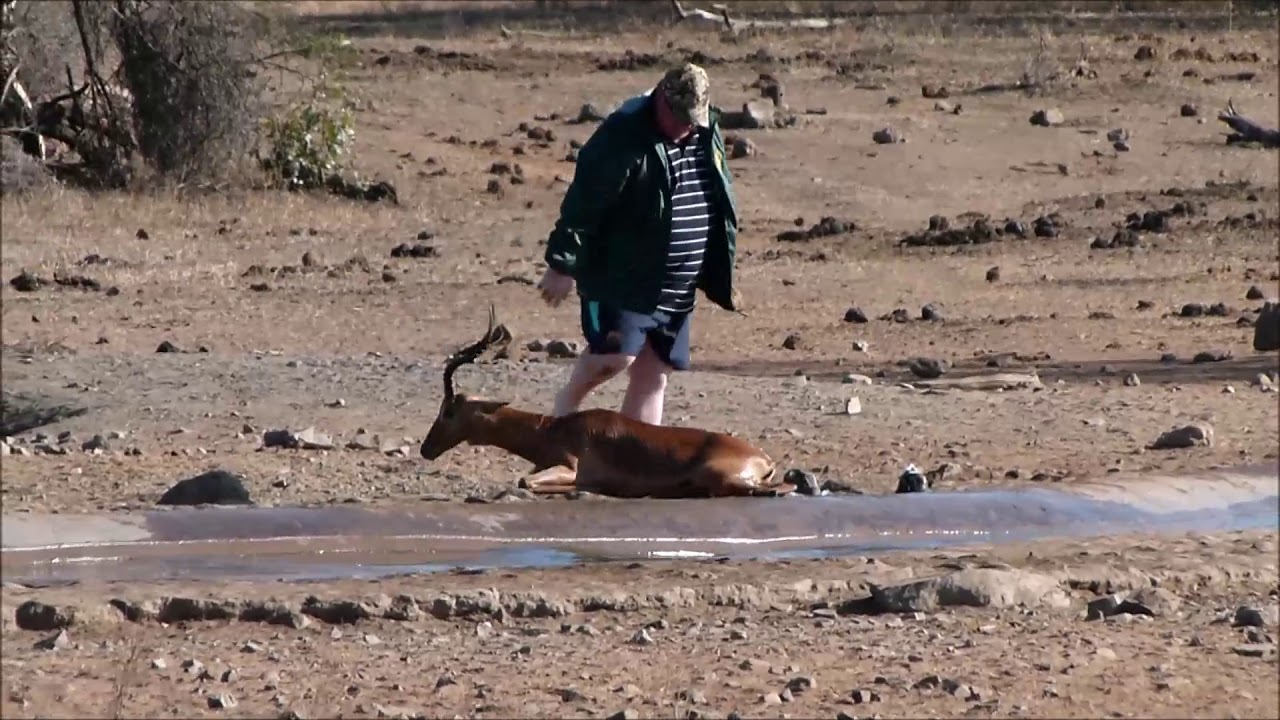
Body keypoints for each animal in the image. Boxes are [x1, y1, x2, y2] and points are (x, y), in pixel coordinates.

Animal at [419, 305, 796, 499]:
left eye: (449, 410)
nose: (426, 449)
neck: (551, 430)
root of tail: (762, 457)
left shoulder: (569, 465)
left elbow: (526, 481)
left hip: (721, 476)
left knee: (777, 488)